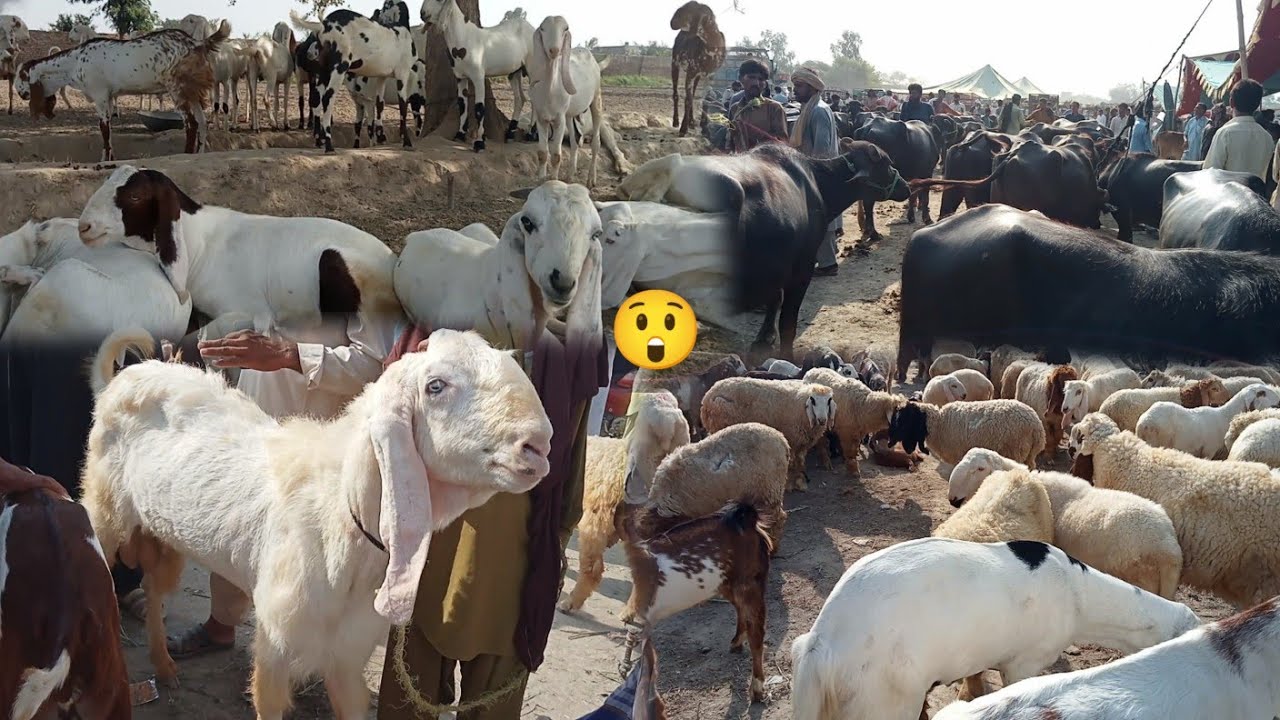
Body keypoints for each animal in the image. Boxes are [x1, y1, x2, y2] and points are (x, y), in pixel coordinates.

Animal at [17, 25, 228, 161]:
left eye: (21, 76)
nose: (21, 94)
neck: (74, 62)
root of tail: (197, 43)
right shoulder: (109, 96)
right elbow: (108, 128)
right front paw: (109, 158)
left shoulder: (100, 94)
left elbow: (103, 127)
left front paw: (106, 161)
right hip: (192, 91)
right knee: (202, 122)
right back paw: (199, 155)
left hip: (177, 88)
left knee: (191, 123)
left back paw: (184, 156)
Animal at [76, 165, 404, 341]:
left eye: (135, 196)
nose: (84, 226)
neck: (200, 244)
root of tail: (392, 262)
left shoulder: (249, 311)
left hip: (334, 265)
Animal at [81, 326, 554, 714]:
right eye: (435, 386)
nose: (539, 444)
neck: (338, 517)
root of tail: (123, 376)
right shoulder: (275, 645)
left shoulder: (348, 657)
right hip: (104, 509)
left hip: (160, 531)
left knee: (153, 589)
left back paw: (163, 665)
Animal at [290, 2, 418, 152]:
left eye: (384, 7)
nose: (377, 13)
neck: (401, 31)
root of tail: (324, 25)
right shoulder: (402, 74)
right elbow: (403, 106)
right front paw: (407, 142)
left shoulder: (382, 77)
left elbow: (380, 104)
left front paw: (381, 139)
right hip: (340, 67)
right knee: (328, 98)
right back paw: (329, 145)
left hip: (324, 71)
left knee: (316, 99)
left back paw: (319, 141)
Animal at [420, 0, 534, 150]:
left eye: (440, 0)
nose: (423, 14)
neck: (465, 37)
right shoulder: (460, 78)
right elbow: (462, 105)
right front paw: (460, 135)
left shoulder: (478, 78)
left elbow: (479, 108)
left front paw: (479, 142)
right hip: (515, 72)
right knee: (520, 99)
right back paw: (510, 134)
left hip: (533, 68)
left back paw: (532, 134)